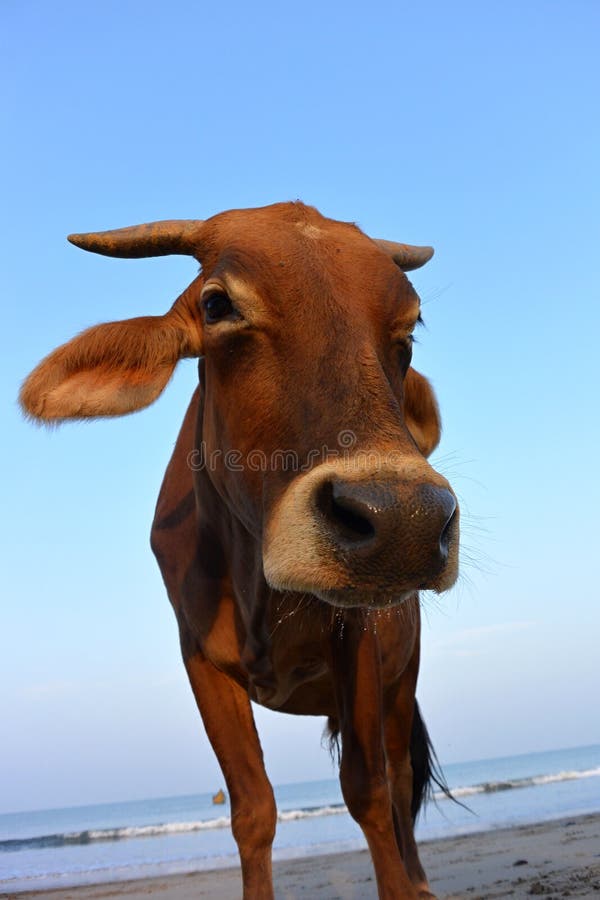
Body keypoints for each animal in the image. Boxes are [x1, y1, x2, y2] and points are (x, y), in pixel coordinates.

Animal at [20, 202, 459, 900]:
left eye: (409, 326)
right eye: (218, 303)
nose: (403, 519)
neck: (259, 590)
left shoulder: (359, 639)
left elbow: (367, 791)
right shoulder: (201, 658)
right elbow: (252, 810)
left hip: (402, 677)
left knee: (397, 777)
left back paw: (417, 881)